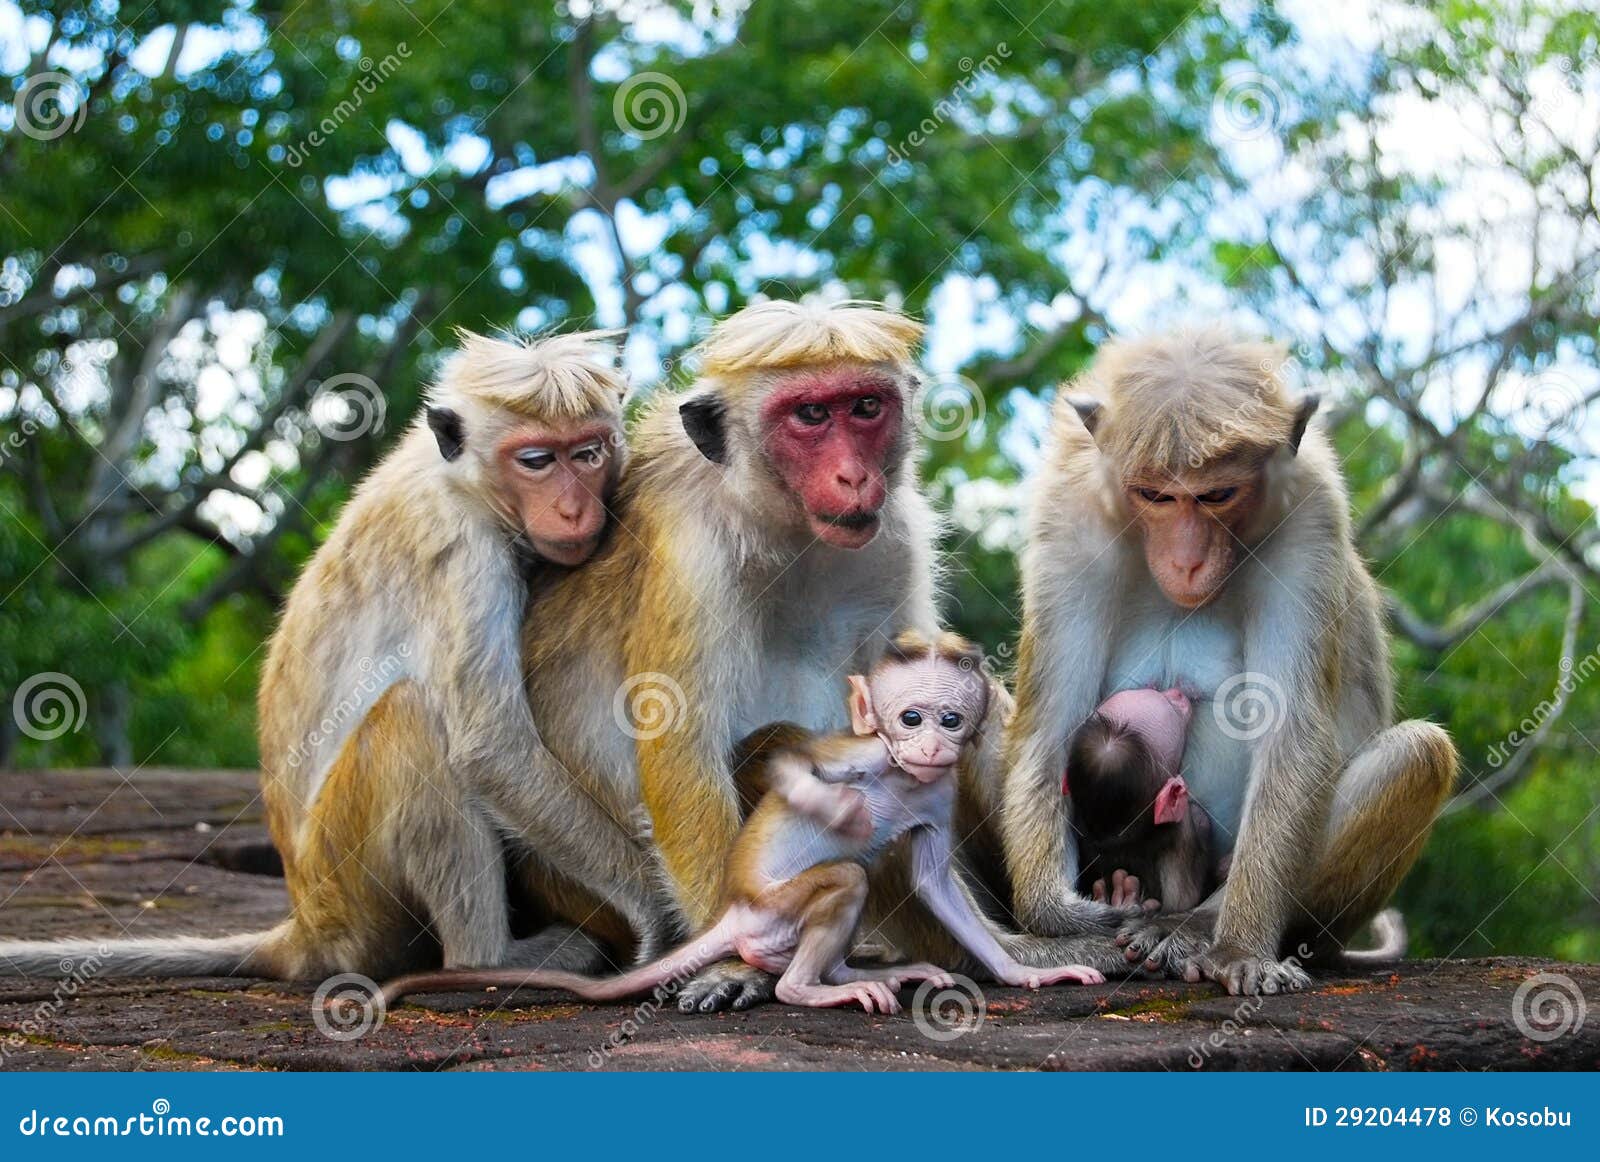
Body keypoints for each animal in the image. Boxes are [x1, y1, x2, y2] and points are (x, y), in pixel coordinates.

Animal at [0, 329, 664, 981]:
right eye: (536, 461)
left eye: (588, 452)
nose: (574, 508)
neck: (463, 482)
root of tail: (306, 927)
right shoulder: (462, 549)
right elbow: (490, 745)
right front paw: (658, 912)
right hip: (348, 886)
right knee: (412, 719)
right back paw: (491, 958)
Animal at [379, 632, 1104, 1012]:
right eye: (910, 717)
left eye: (950, 720)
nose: (928, 745)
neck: (902, 775)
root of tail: (733, 912)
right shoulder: (859, 753)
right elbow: (790, 761)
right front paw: (839, 809)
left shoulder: (935, 794)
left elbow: (935, 883)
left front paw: (1024, 972)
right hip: (774, 913)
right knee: (845, 879)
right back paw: (806, 989)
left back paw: (850, 976)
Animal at [509, 299, 1128, 1012]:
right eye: (809, 415)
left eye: (864, 407)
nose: (853, 475)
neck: (783, 525)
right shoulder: (690, 545)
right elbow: (681, 749)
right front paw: (729, 961)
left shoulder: (896, 535)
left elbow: (930, 678)